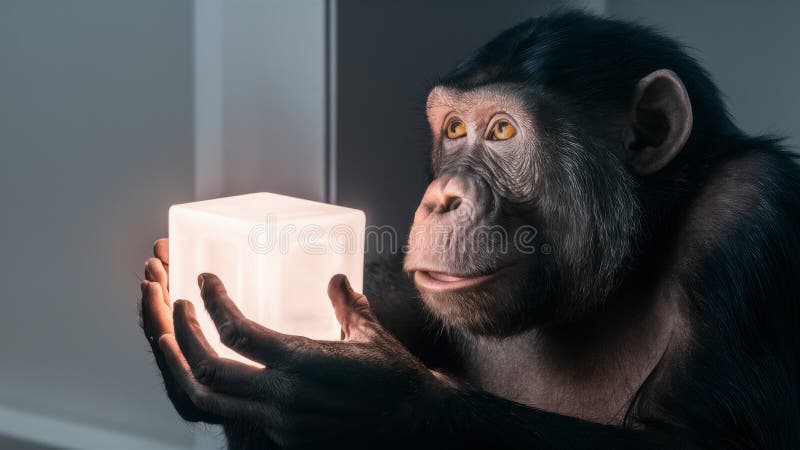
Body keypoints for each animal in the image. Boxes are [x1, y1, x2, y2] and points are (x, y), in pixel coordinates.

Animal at [140, 11, 800, 449]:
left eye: (503, 131)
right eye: (454, 129)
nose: (442, 197)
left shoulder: (750, 216)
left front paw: (378, 399)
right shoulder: (399, 289)